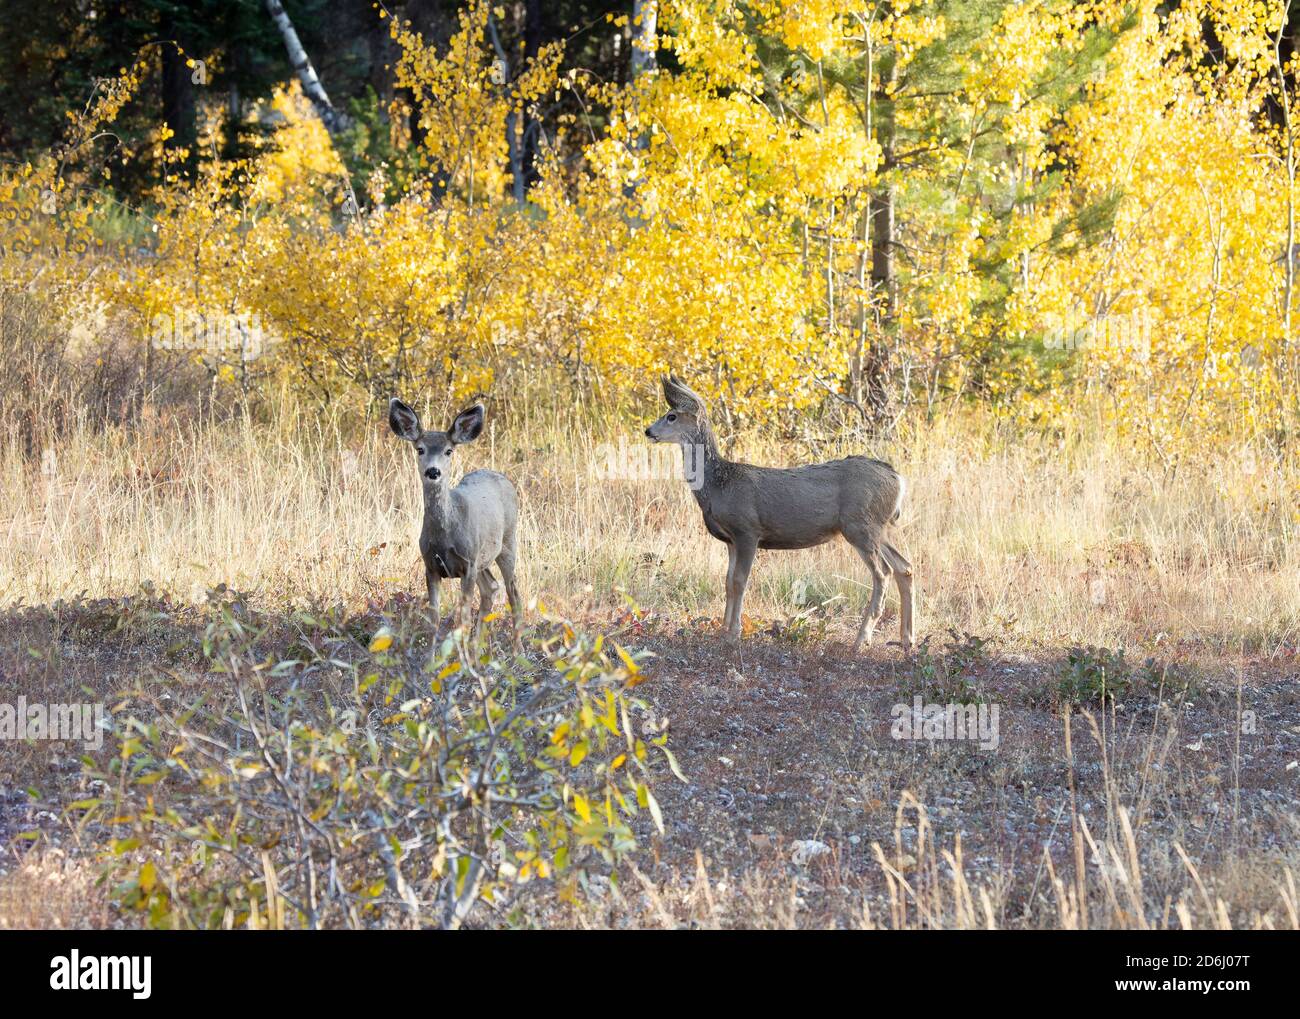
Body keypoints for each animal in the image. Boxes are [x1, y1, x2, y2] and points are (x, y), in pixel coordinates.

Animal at [388, 398, 523, 648]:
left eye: (448, 451)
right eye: (420, 449)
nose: (433, 471)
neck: (445, 535)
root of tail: (503, 477)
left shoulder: (467, 565)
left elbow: (463, 620)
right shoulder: (431, 565)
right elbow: (433, 620)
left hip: (508, 542)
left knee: (513, 593)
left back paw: (516, 649)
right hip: (482, 558)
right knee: (491, 588)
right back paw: (477, 647)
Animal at [644, 373, 914, 652]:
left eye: (672, 416)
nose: (648, 431)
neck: (718, 484)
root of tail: (898, 479)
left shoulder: (747, 530)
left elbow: (740, 581)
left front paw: (734, 634)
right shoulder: (730, 540)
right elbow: (728, 582)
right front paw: (722, 630)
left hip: (859, 525)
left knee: (883, 573)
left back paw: (861, 639)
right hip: (878, 527)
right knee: (904, 566)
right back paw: (907, 638)